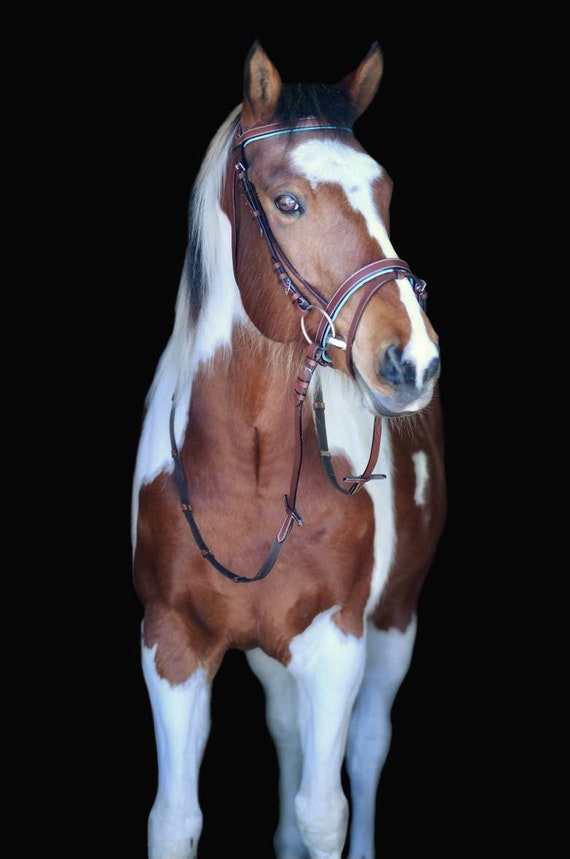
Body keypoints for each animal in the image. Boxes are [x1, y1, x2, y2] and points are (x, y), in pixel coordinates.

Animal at [131, 39, 447, 859]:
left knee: (364, 749)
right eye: (288, 203)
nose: (413, 361)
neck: (246, 469)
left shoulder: (337, 641)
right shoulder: (170, 645)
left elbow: (324, 808)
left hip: (394, 620)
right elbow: (173, 818)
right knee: (287, 732)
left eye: (384, 192)